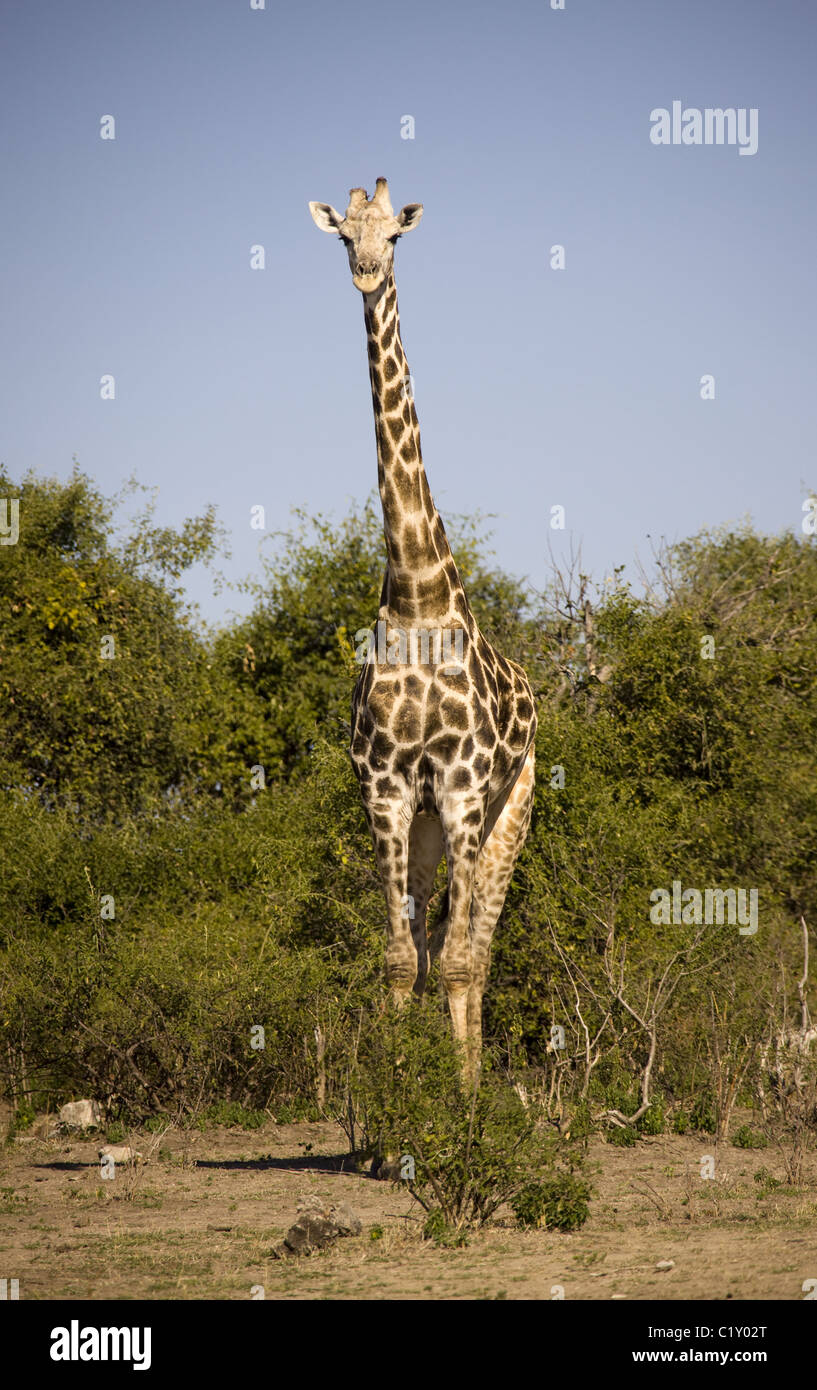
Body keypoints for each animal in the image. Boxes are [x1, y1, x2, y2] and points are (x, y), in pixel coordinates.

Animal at [309, 178, 537, 1079]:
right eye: (343, 236)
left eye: (395, 237)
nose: (368, 273)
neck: (415, 590)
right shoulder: (385, 787)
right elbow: (402, 959)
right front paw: (393, 1097)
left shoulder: (469, 785)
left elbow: (462, 959)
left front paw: (464, 1102)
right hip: (434, 824)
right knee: (440, 940)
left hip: (509, 808)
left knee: (480, 942)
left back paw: (479, 1085)